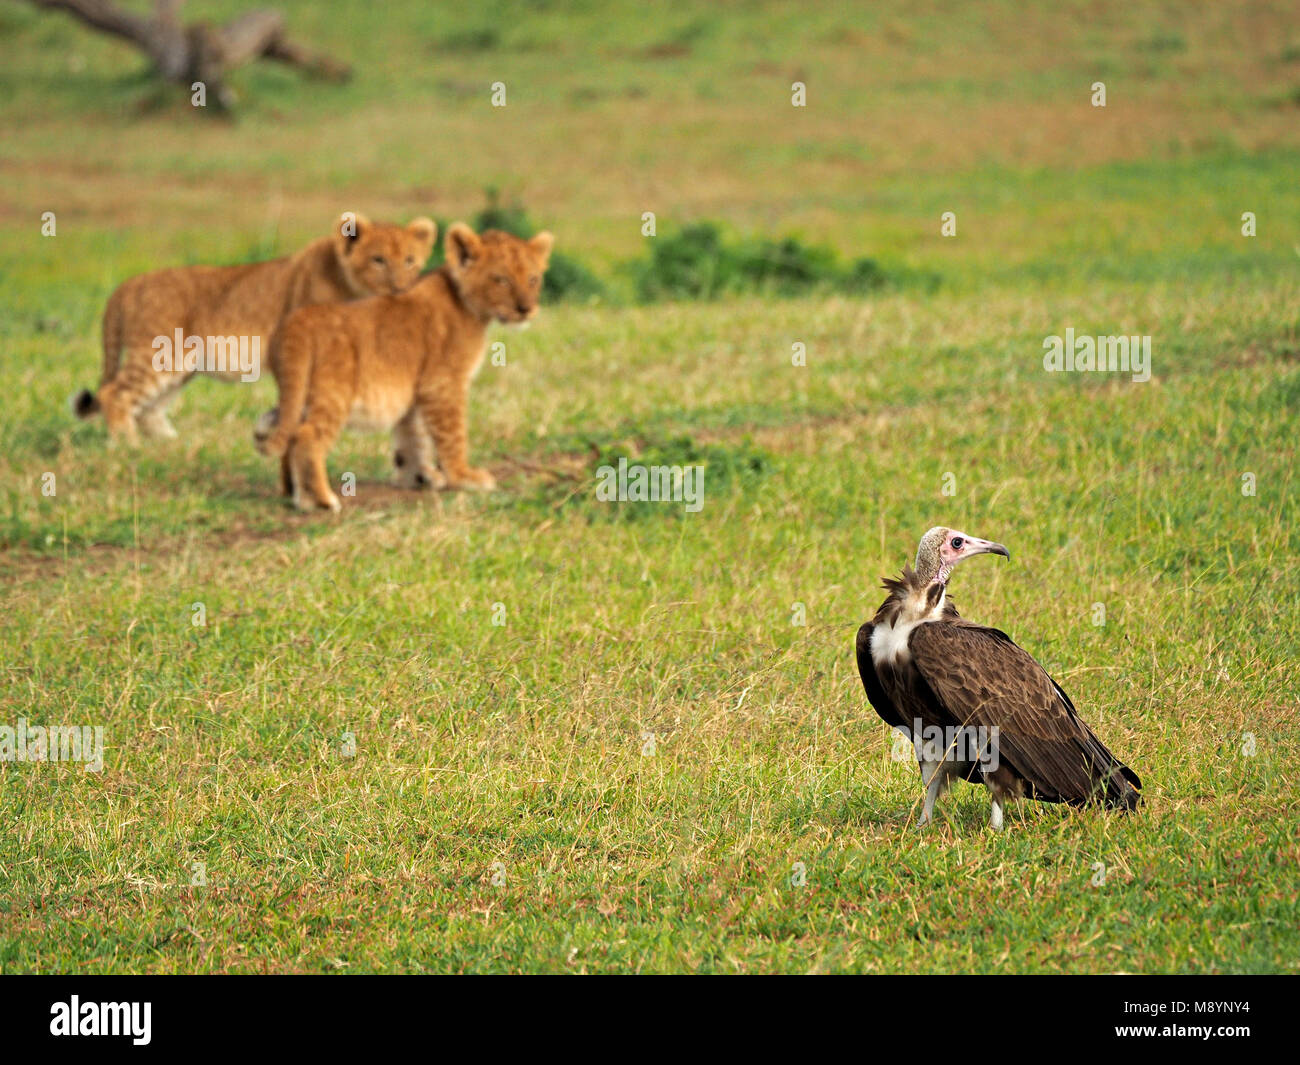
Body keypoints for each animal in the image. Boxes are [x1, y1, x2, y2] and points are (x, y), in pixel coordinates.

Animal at [73, 213, 436, 443]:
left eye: (410, 260)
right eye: (378, 260)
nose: (401, 288)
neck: (351, 286)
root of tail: (127, 285)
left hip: (178, 365)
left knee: (148, 407)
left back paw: (167, 445)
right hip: (158, 355)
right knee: (114, 395)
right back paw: (128, 446)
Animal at [254, 222, 553, 511]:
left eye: (533, 279)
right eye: (501, 279)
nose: (526, 309)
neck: (470, 307)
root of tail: (297, 323)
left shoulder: (416, 388)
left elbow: (412, 436)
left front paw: (419, 478)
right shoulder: (443, 384)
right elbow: (453, 434)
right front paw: (463, 477)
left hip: (299, 395)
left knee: (289, 433)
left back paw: (298, 496)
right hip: (334, 393)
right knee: (306, 437)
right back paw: (321, 500)